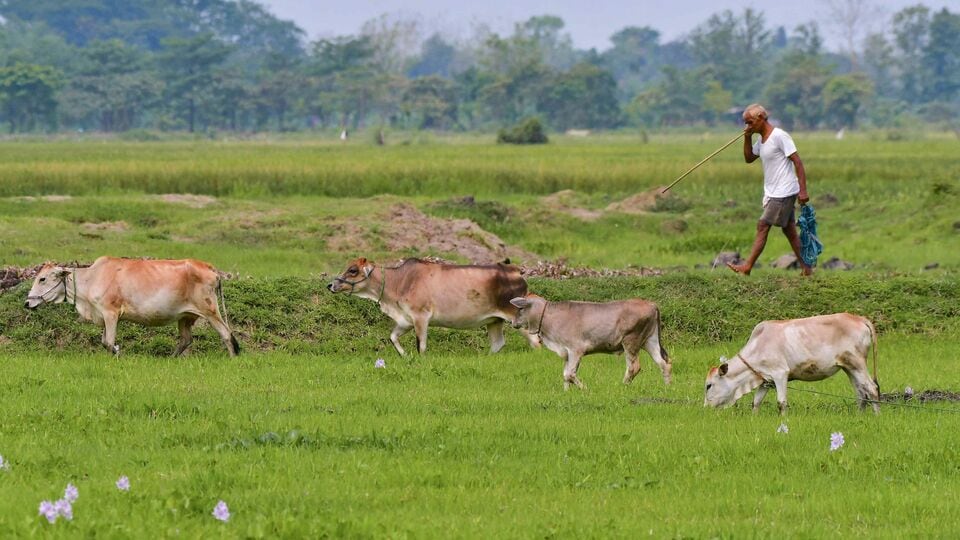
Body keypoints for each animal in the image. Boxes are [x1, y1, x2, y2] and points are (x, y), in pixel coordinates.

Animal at [24, 257, 240, 357]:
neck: (92, 278)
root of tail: (211, 268)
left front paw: (118, 352)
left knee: (226, 334)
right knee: (185, 340)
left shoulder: (111, 313)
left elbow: (109, 342)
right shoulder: (104, 316)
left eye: (42, 278)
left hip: (210, 311)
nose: (27, 302)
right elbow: (104, 342)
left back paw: (232, 358)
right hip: (185, 316)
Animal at [327, 257, 539, 356]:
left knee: (535, 341)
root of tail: (515, 270)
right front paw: (404, 356)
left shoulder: (421, 317)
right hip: (494, 321)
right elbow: (393, 337)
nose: (330, 285)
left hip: (517, 317)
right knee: (497, 344)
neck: (400, 281)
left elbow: (421, 345)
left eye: (352, 270)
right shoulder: (405, 320)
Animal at [509, 293, 672, 390]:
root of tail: (651, 304)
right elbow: (566, 374)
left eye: (520, 309)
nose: (512, 322)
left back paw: (622, 387)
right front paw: (565, 393)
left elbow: (570, 374)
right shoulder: (567, 353)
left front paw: (585, 389)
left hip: (631, 342)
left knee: (634, 367)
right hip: (650, 341)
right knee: (664, 363)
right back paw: (668, 387)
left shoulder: (576, 350)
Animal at [703, 313, 879, 414]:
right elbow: (756, 402)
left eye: (708, 385)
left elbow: (781, 403)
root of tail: (859, 318)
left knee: (872, 389)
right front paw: (754, 418)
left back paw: (877, 416)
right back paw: (859, 416)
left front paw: (783, 421)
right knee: (861, 392)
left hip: (857, 363)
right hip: (848, 367)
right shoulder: (766, 380)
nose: (705, 408)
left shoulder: (780, 374)